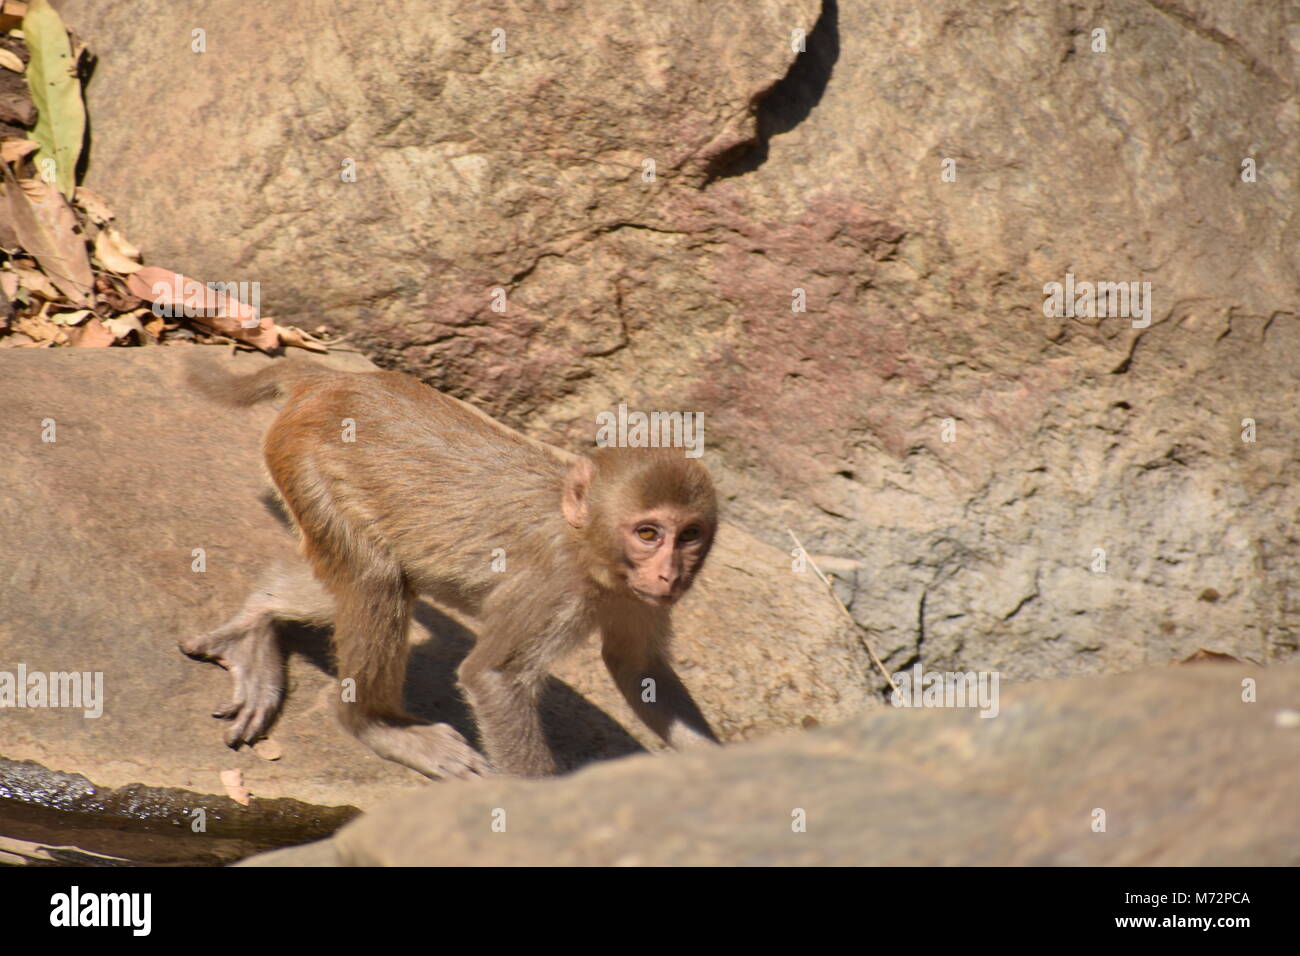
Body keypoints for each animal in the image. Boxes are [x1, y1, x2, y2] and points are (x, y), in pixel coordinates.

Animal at [181, 357, 719, 780]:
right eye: (648, 534)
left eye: (689, 535)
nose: (670, 573)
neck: (589, 546)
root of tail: (330, 381)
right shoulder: (553, 586)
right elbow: (493, 678)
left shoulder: (639, 599)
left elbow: (638, 668)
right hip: (309, 466)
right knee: (376, 581)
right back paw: (372, 724)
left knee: (365, 582)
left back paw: (260, 616)